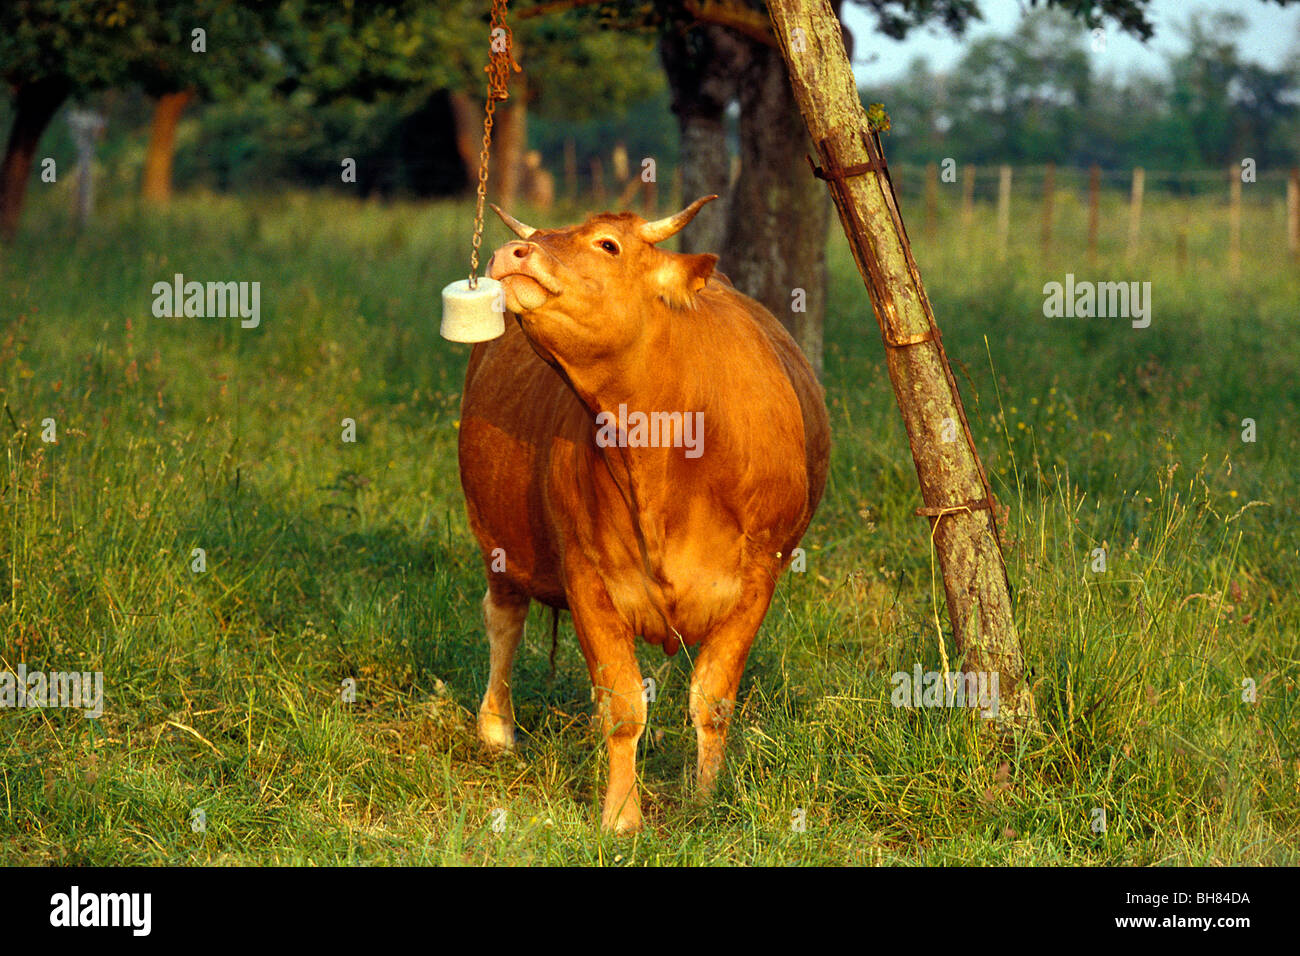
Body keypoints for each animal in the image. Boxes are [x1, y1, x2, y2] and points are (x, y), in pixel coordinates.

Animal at [458, 196, 830, 833]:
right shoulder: (585, 576)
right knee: (504, 619)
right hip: (500, 540)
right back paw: (497, 730)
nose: (512, 252)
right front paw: (621, 816)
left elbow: (712, 700)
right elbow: (624, 705)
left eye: (608, 245)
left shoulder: (758, 577)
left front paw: (704, 799)